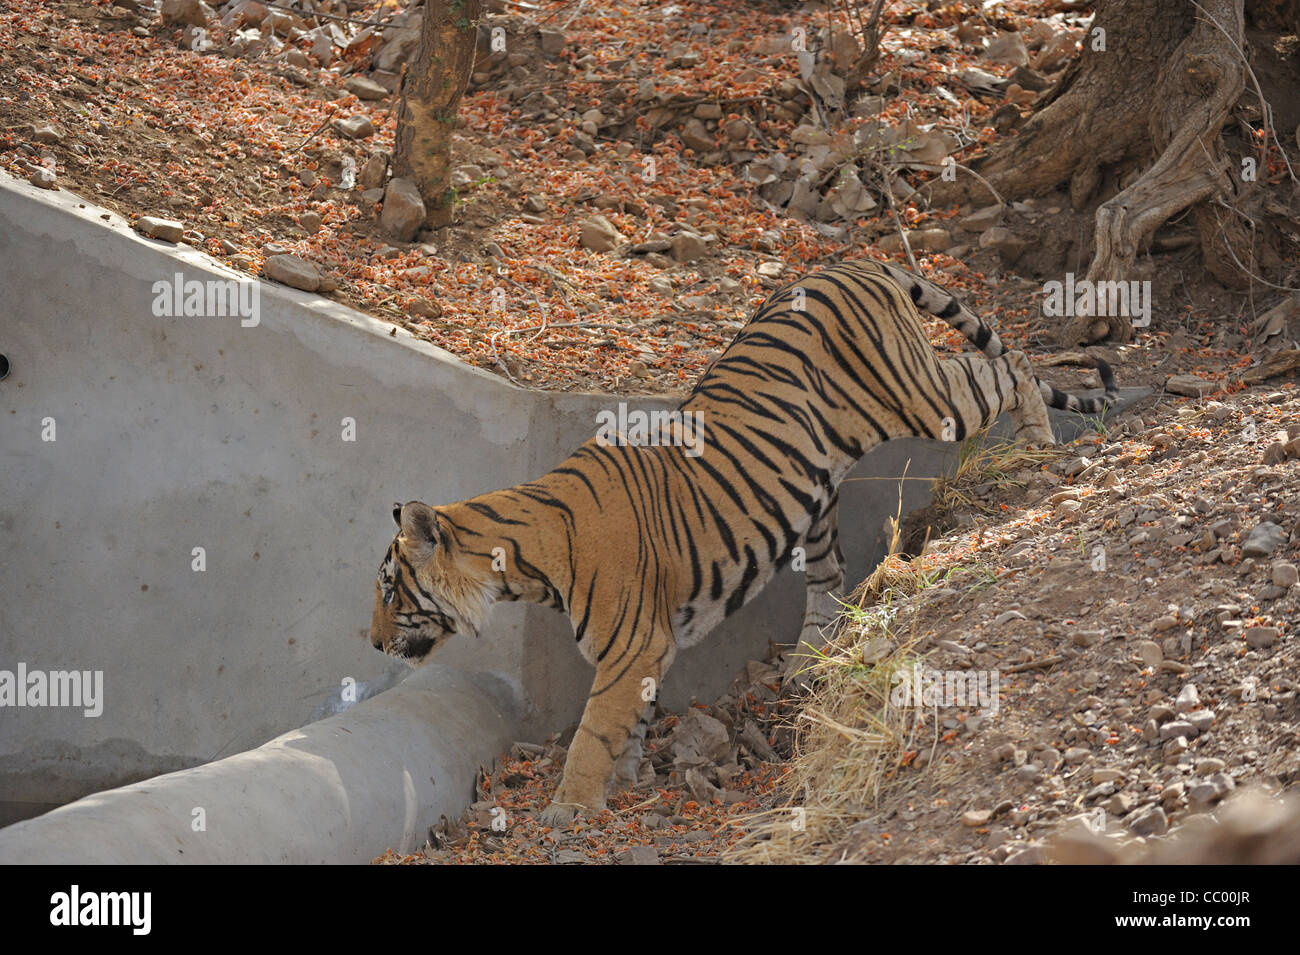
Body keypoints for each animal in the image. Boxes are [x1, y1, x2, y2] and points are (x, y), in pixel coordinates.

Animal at [369, 258, 1118, 827]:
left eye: (390, 589)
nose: (372, 644)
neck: (523, 562)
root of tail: (855, 260)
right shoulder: (651, 646)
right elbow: (632, 720)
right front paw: (630, 778)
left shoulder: (630, 645)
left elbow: (595, 730)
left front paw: (569, 808)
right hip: (815, 496)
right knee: (830, 579)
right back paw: (806, 665)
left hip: (921, 397)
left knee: (1006, 368)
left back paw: (1037, 441)